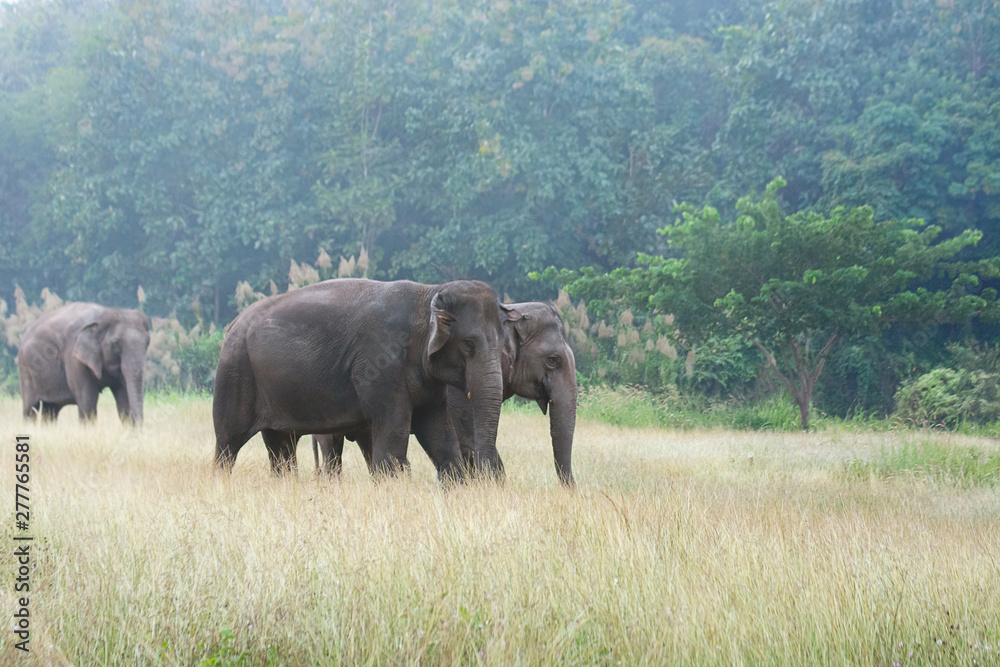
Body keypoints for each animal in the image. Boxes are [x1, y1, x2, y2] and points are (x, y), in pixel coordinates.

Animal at [17, 302, 151, 424]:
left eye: (148, 343)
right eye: (115, 344)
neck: (106, 313)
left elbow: (123, 399)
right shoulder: (74, 357)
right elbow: (87, 400)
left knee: (51, 409)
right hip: (26, 370)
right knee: (31, 408)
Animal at [212, 279, 519, 479]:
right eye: (469, 344)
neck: (428, 293)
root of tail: (232, 324)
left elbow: (438, 432)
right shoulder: (380, 366)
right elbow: (393, 440)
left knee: (281, 447)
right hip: (235, 374)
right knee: (228, 442)